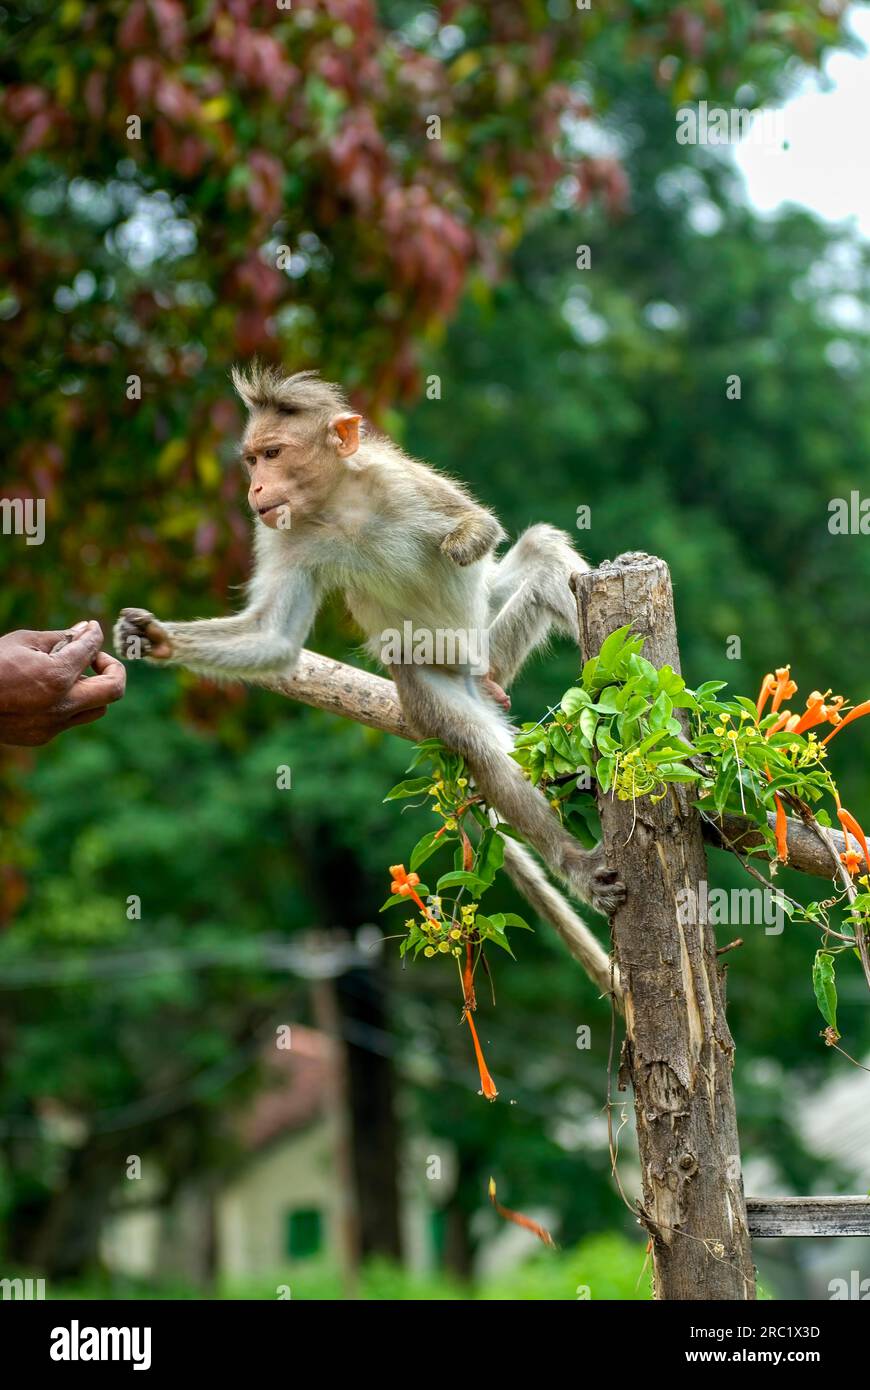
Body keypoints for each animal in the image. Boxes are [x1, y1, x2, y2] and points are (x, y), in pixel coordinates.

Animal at [114, 365, 625, 944]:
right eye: (251, 460)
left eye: (272, 454)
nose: (254, 488)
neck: (338, 505)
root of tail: (478, 672)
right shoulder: (283, 533)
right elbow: (273, 638)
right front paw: (154, 639)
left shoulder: (396, 477)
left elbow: (478, 524)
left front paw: (463, 541)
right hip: (431, 683)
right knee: (480, 744)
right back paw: (576, 863)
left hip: (489, 642)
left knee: (544, 554)